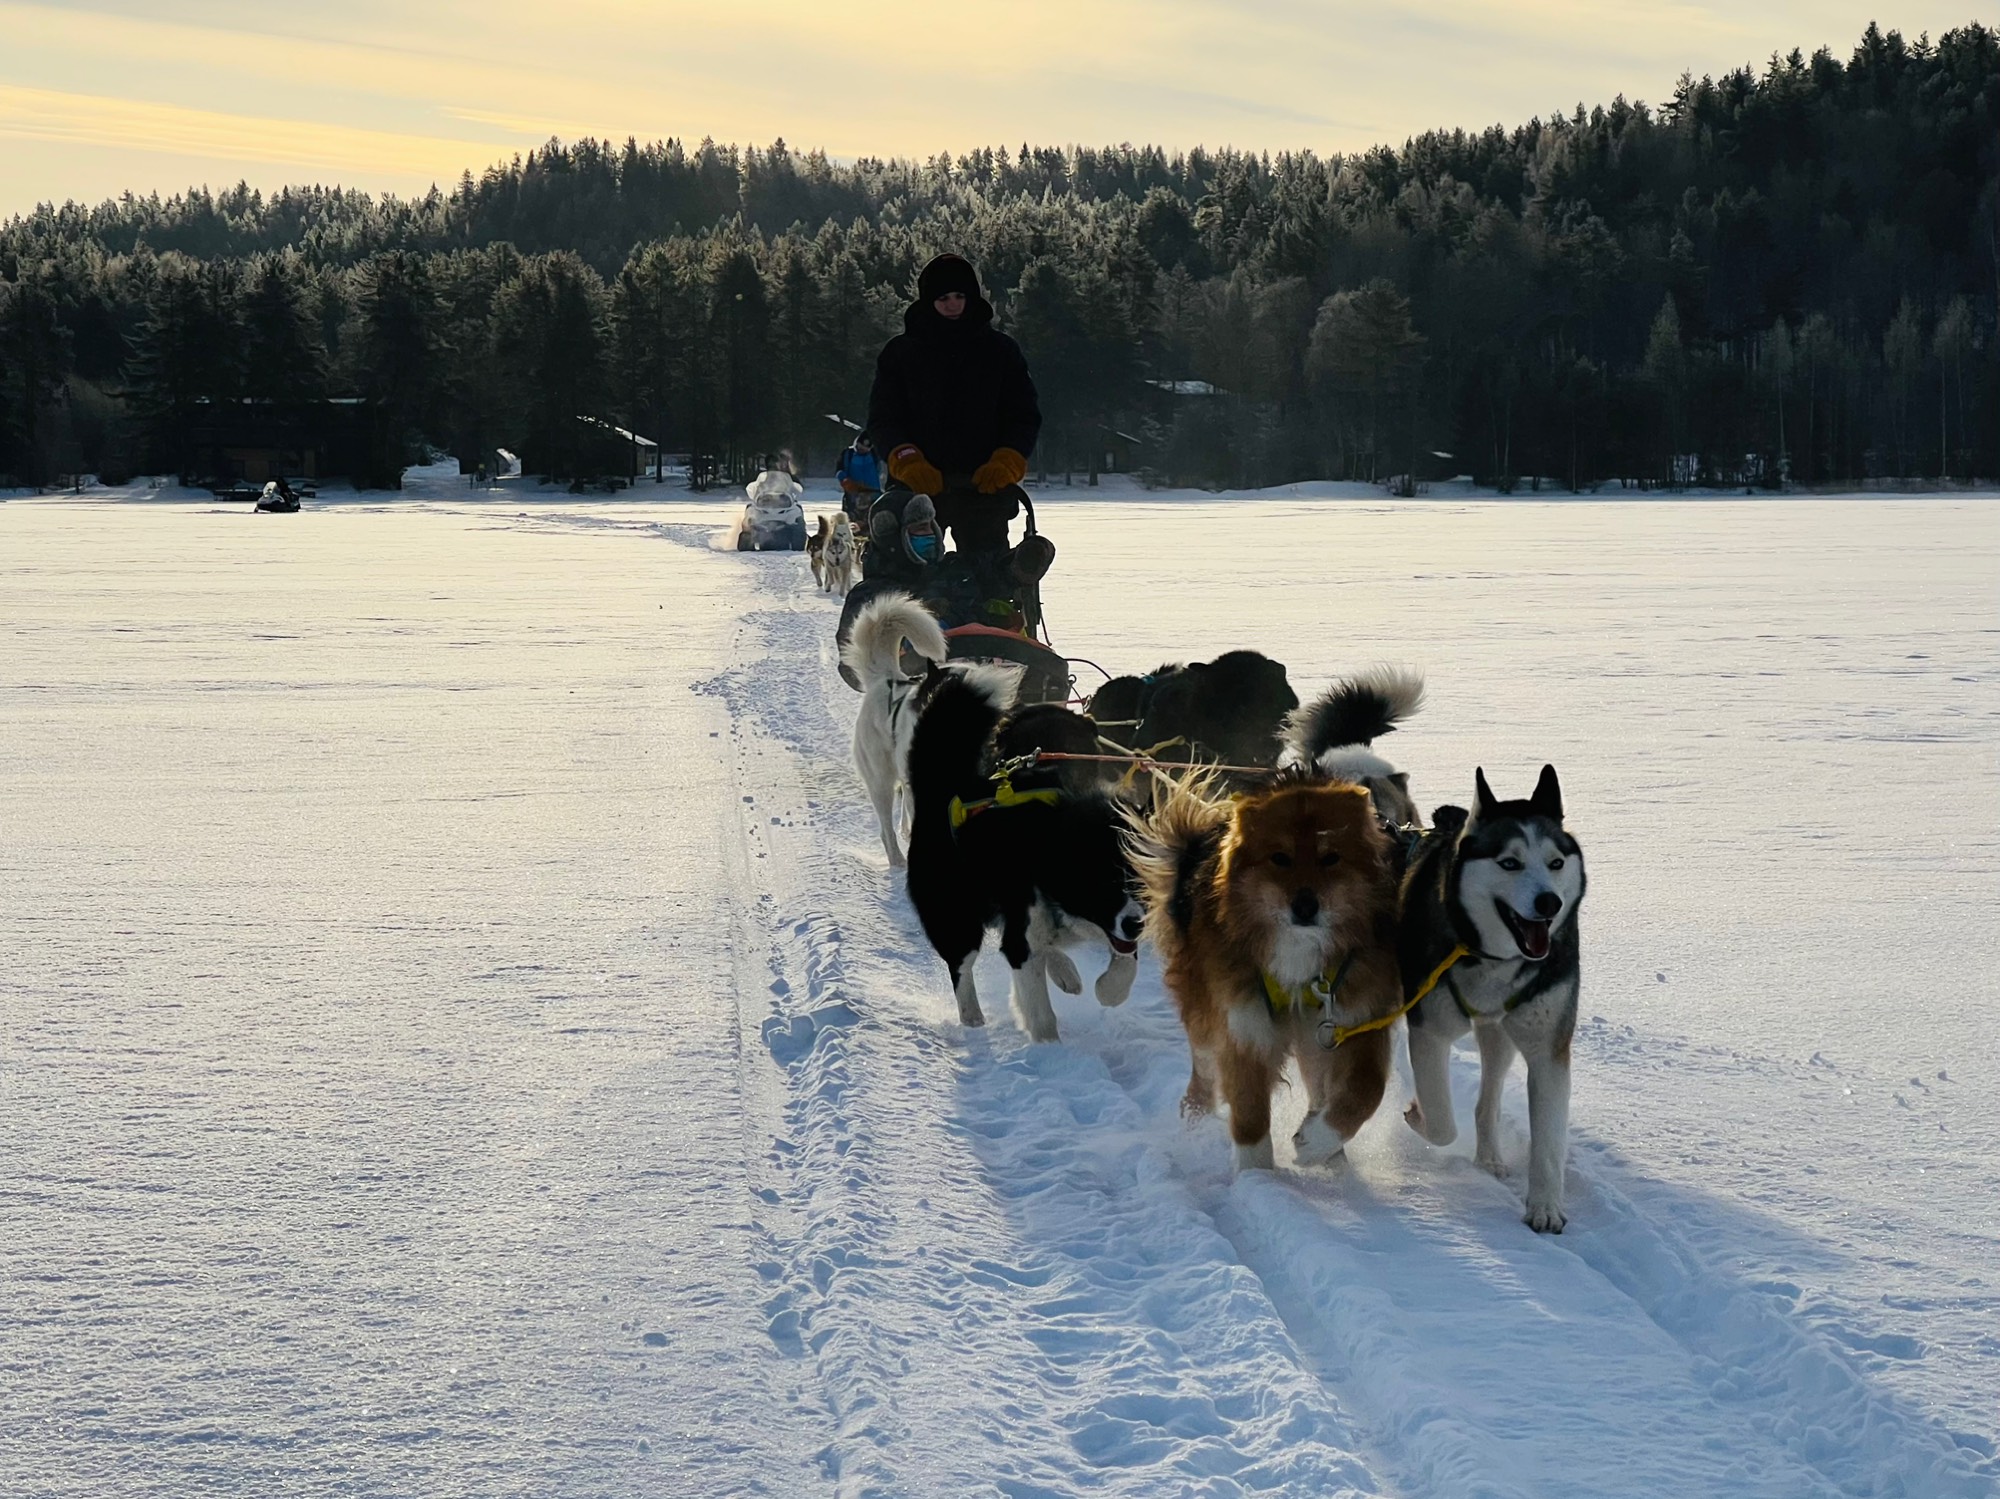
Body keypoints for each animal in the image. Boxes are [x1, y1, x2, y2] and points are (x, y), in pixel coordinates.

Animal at [908, 671, 1144, 1047]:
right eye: (1102, 882)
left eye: (1136, 878)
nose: (1137, 924)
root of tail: (941, 790)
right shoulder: (1025, 928)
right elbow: (1041, 1012)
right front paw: (1051, 1051)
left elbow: (1124, 967)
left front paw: (1107, 990)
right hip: (955, 915)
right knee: (962, 965)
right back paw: (973, 1019)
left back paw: (1066, 973)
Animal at [1136, 775, 1400, 1175]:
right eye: (1280, 858)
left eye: (1331, 857)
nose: (1305, 907)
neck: (1297, 950)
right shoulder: (1246, 1023)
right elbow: (1249, 1112)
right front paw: (1256, 1177)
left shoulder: (1355, 1017)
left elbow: (1365, 1091)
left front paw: (1316, 1143)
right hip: (1205, 1016)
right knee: (1203, 1075)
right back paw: (1194, 1120)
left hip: (1313, 1034)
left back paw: (1330, 1154)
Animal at [1400, 767, 1584, 1239]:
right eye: (1509, 863)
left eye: (1556, 863)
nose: (1549, 902)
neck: (1495, 958)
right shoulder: (1428, 1031)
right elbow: (1441, 1122)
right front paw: (1417, 1115)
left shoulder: (1549, 1050)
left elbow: (1549, 1142)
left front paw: (1545, 1207)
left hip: (1499, 1033)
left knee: (1488, 1101)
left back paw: (1490, 1158)